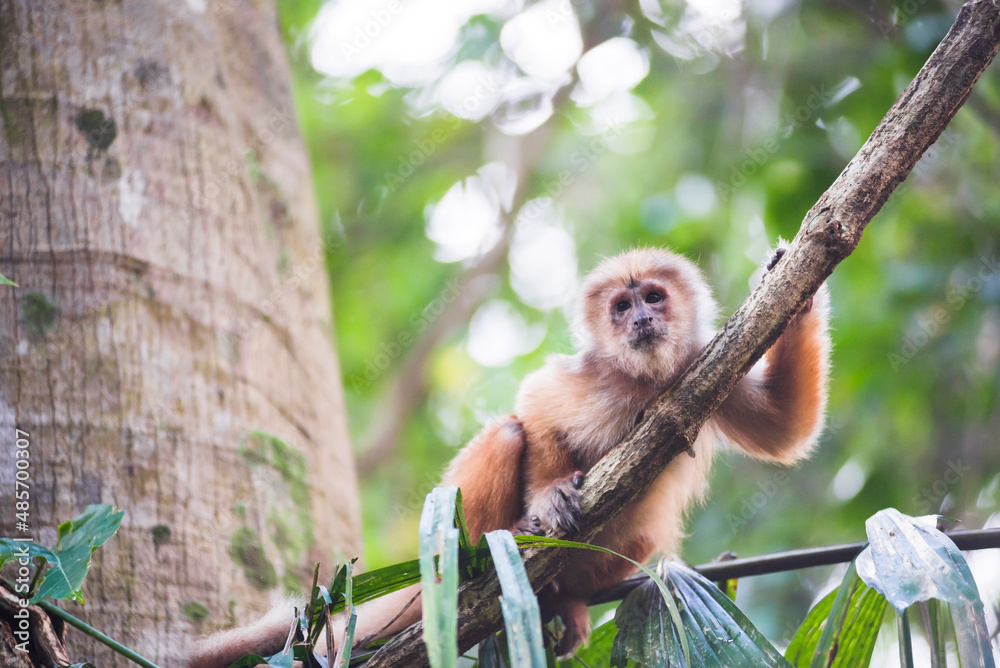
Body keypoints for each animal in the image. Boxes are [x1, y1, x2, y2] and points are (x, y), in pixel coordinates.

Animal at [188, 244, 830, 665]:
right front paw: (549, 494)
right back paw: (492, 563)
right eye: (622, 307)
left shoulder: (704, 362)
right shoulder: (593, 379)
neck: (645, 380)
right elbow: (536, 411)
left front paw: (796, 286)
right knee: (507, 434)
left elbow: (783, 432)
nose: (643, 318)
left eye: (653, 297)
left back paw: (564, 597)